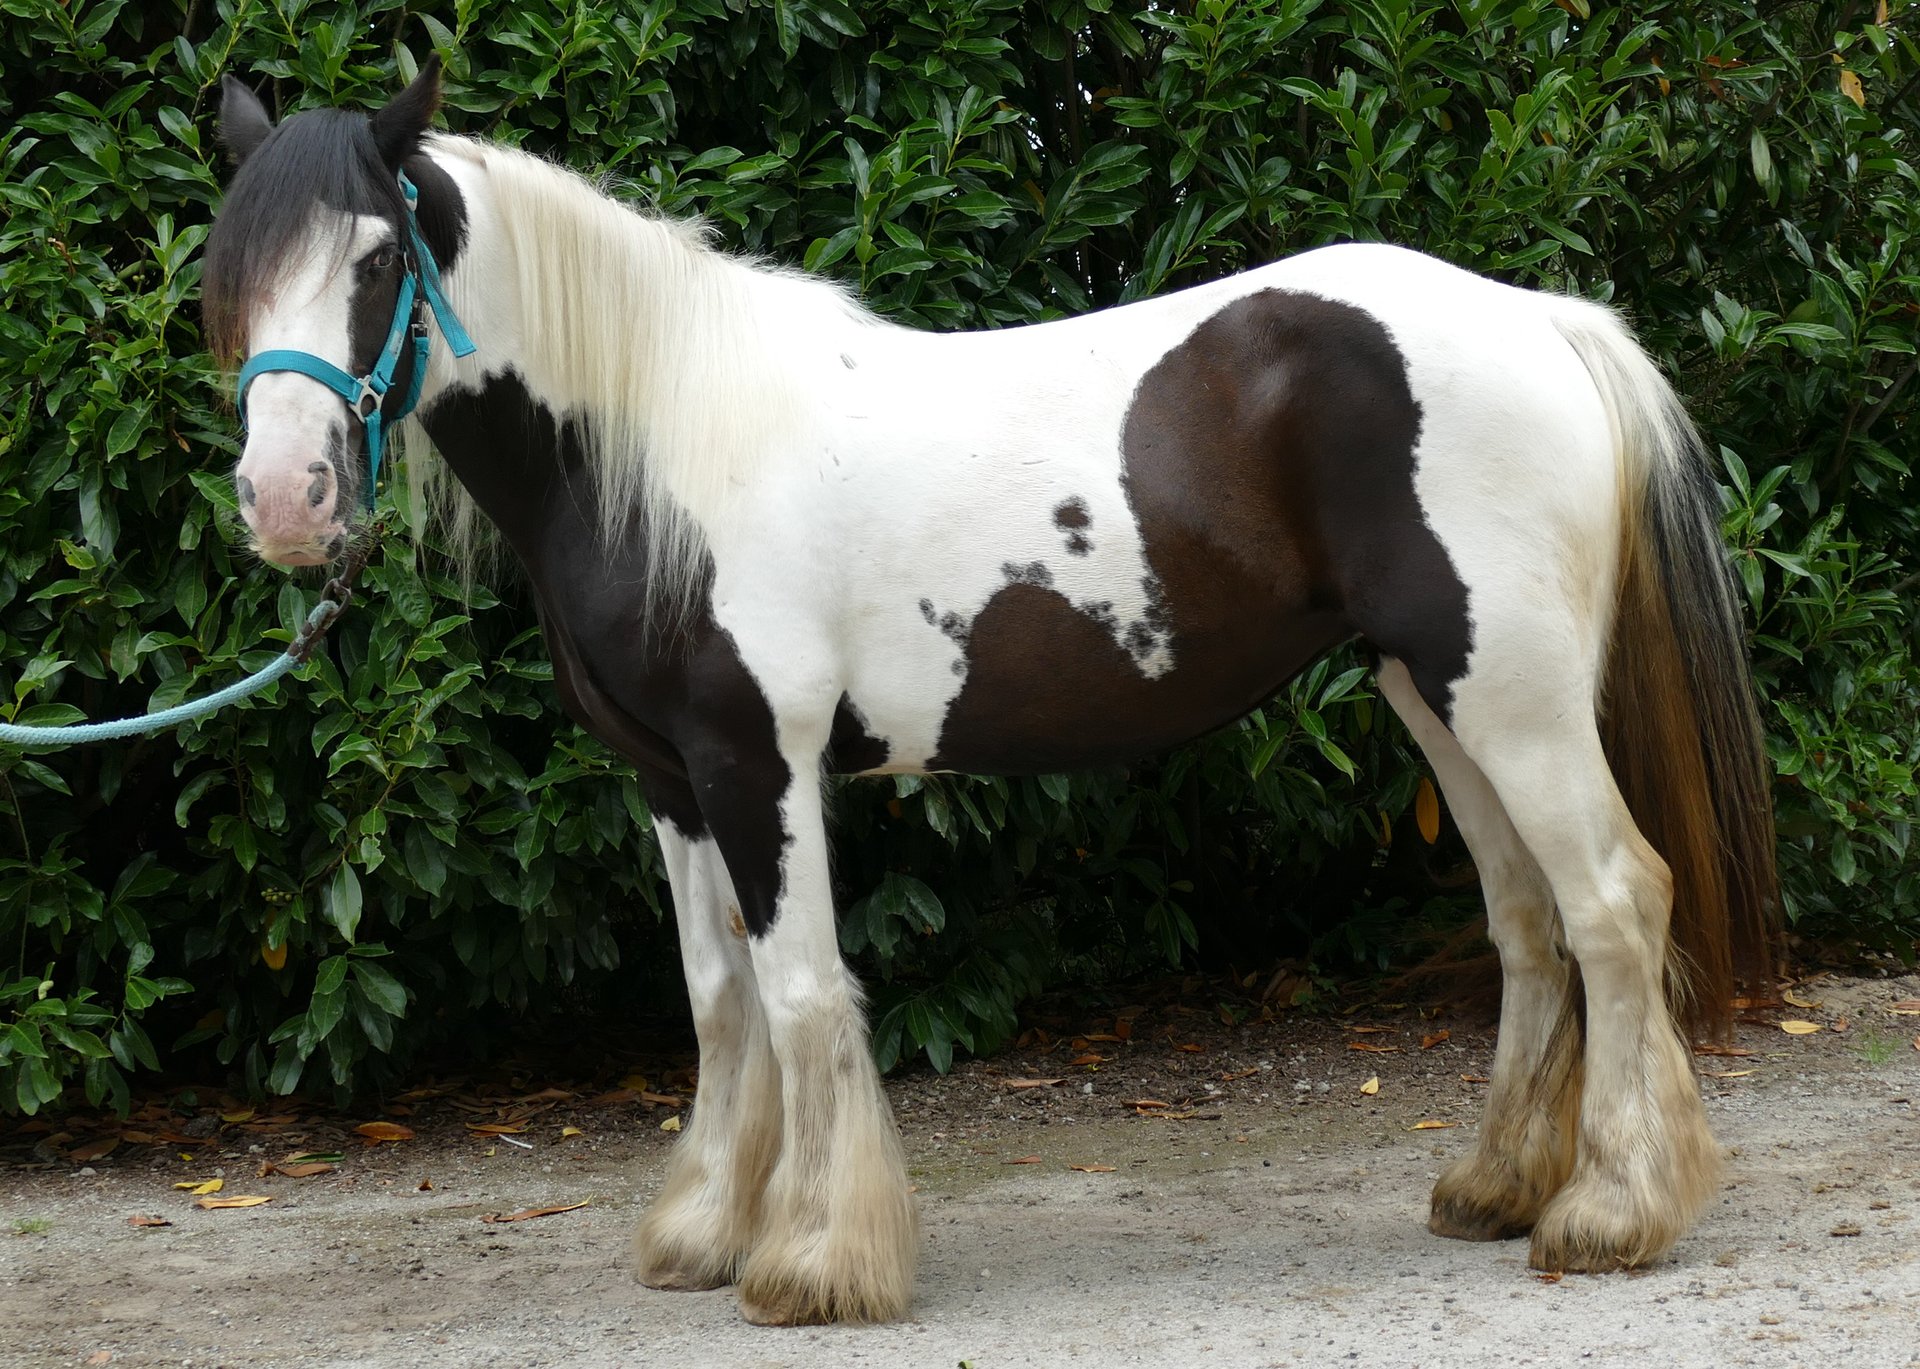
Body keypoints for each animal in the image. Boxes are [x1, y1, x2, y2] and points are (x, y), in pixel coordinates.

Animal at [201, 61, 1775, 1325]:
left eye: (377, 256)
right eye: (229, 272)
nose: (285, 501)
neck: (667, 445)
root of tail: (1545, 321)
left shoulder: (758, 767)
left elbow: (800, 992)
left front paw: (816, 1261)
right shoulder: (669, 780)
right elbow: (718, 1001)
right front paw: (706, 1230)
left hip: (1509, 695)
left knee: (1614, 899)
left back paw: (1611, 1211)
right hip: (1434, 698)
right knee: (1527, 921)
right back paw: (1497, 1186)